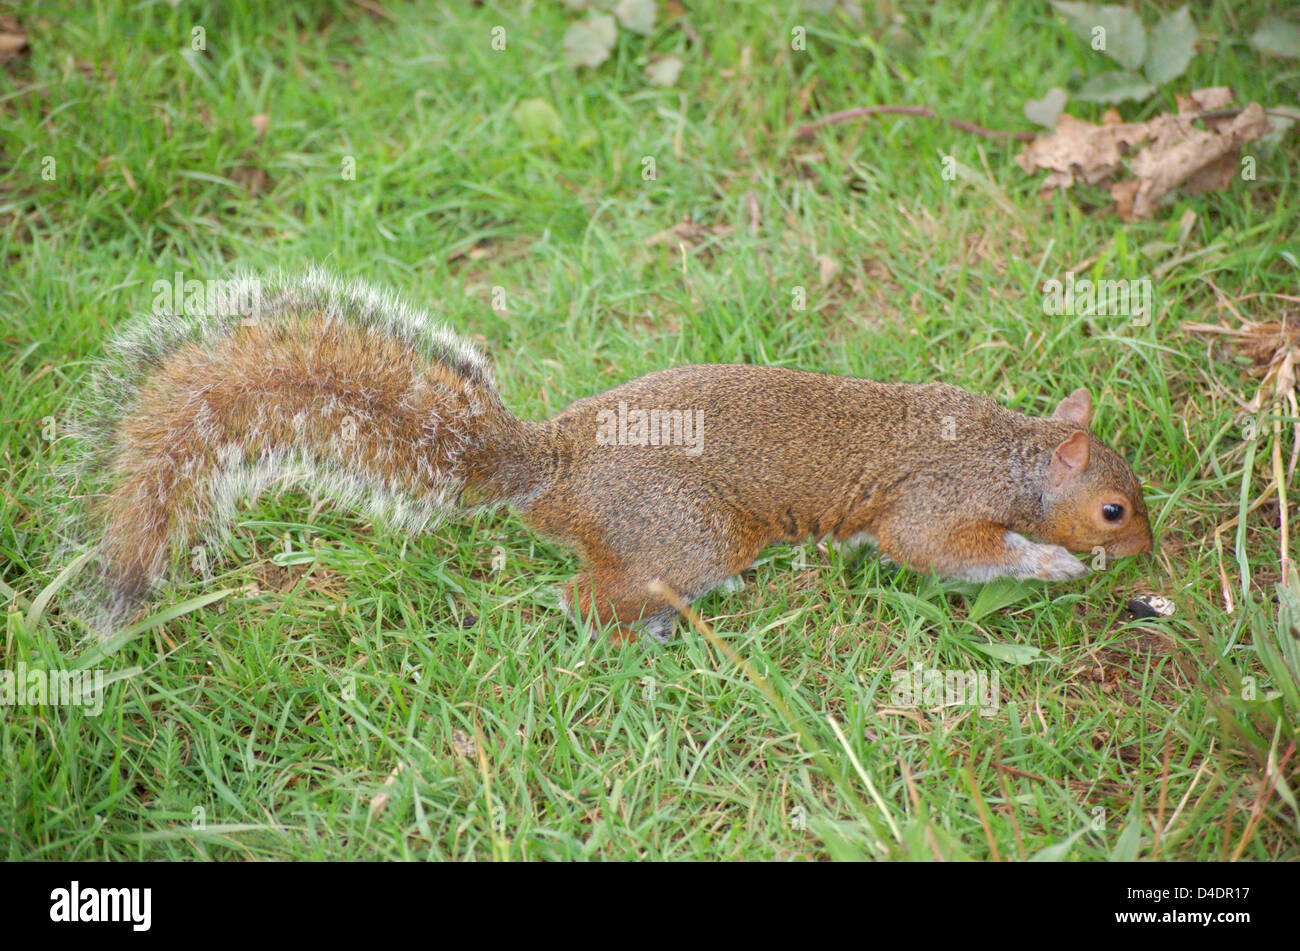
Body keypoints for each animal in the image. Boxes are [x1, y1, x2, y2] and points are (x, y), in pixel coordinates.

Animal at [60, 268, 1154, 643]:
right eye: (1114, 507)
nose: (1145, 552)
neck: (1011, 454)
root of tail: (554, 470)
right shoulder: (937, 502)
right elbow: (937, 548)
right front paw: (1051, 562)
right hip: (685, 532)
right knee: (588, 595)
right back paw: (641, 628)